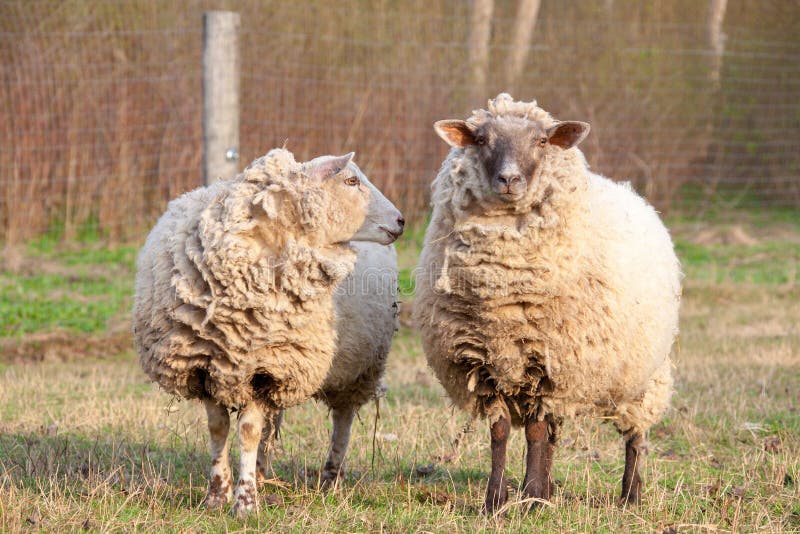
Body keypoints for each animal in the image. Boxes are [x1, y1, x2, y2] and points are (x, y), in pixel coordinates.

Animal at [133, 148, 404, 517]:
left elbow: (247, 431)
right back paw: (263, 474)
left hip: (358, 367)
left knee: (343, 421)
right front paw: (216, 495)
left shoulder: (264, 369)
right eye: (351, 180)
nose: (401, 221)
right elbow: (218, 429)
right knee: (273, 422)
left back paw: (329, 480)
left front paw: (245, 502)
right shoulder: (206, 365)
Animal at [413, 94, 681, 513]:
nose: (509, 180)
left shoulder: (548, 366)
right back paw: (550, 488)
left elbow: (536, 432)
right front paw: (497, 501)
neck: (502, 295)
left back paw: (630, 494)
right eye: (482, 139)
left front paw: (530, 497)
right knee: (556, 433)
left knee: (636, 433)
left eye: (541, 141)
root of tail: (632, 193)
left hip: (645, 372)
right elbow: (501, 432)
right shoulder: (486, 364)